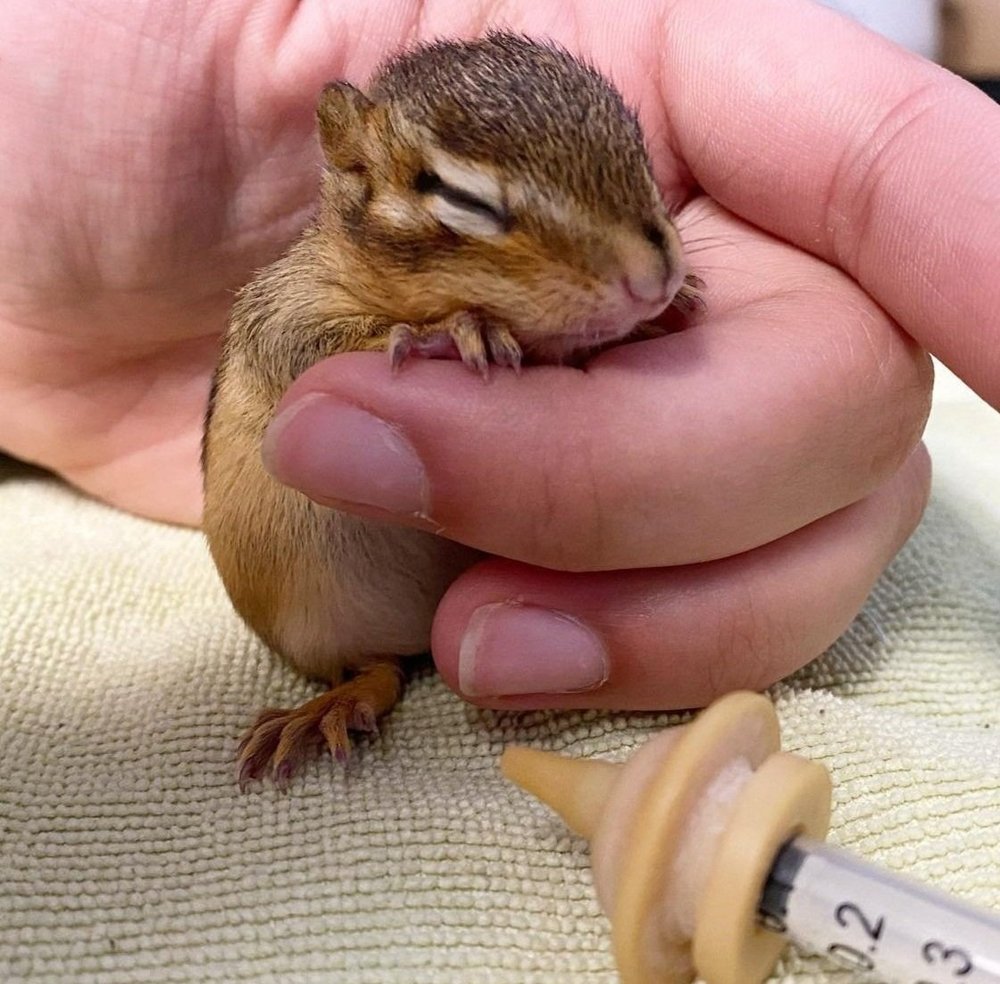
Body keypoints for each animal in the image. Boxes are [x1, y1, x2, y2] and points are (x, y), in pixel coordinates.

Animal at [202, 32, 700, 790]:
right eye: (461, 197)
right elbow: (322, 347)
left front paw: (668, 309)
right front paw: (454, 330)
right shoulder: (285, 314)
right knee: (377, 671)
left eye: (635, 141)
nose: (657, 279)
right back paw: (327, 707)